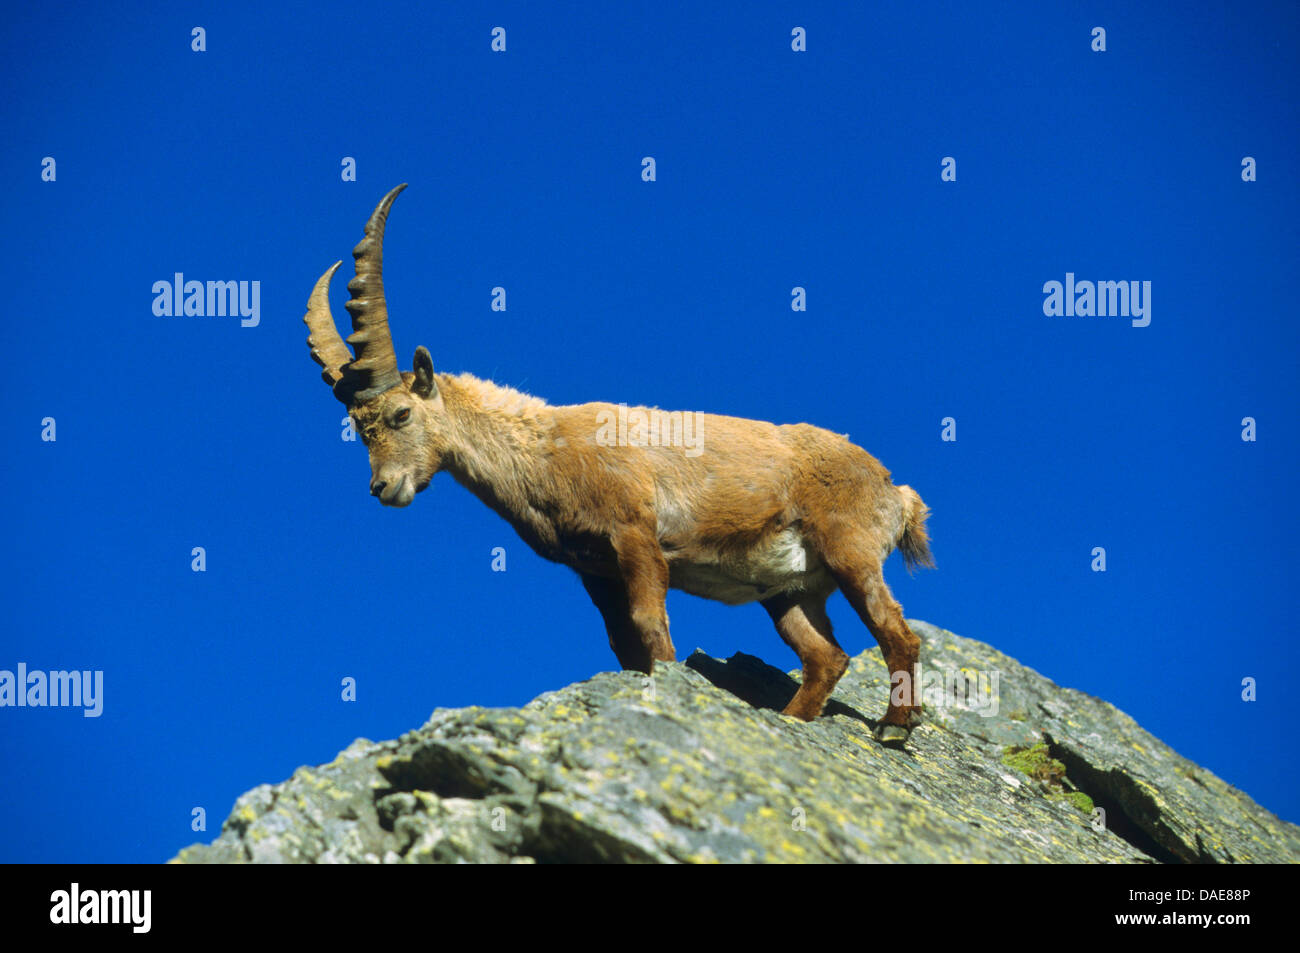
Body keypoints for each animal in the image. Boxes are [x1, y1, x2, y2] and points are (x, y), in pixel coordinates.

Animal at [303, 185, 935, 746]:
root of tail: (896, 491)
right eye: (357, 430)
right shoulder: (595, 572)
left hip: (849, 550)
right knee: (827, 656)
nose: (383, 487)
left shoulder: (637, 538)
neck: (542, 451)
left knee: (896, 630)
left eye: (401, 413)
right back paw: (794, 719)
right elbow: (625, 646)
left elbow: (653, 631)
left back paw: (894, 727)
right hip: (788, 589)